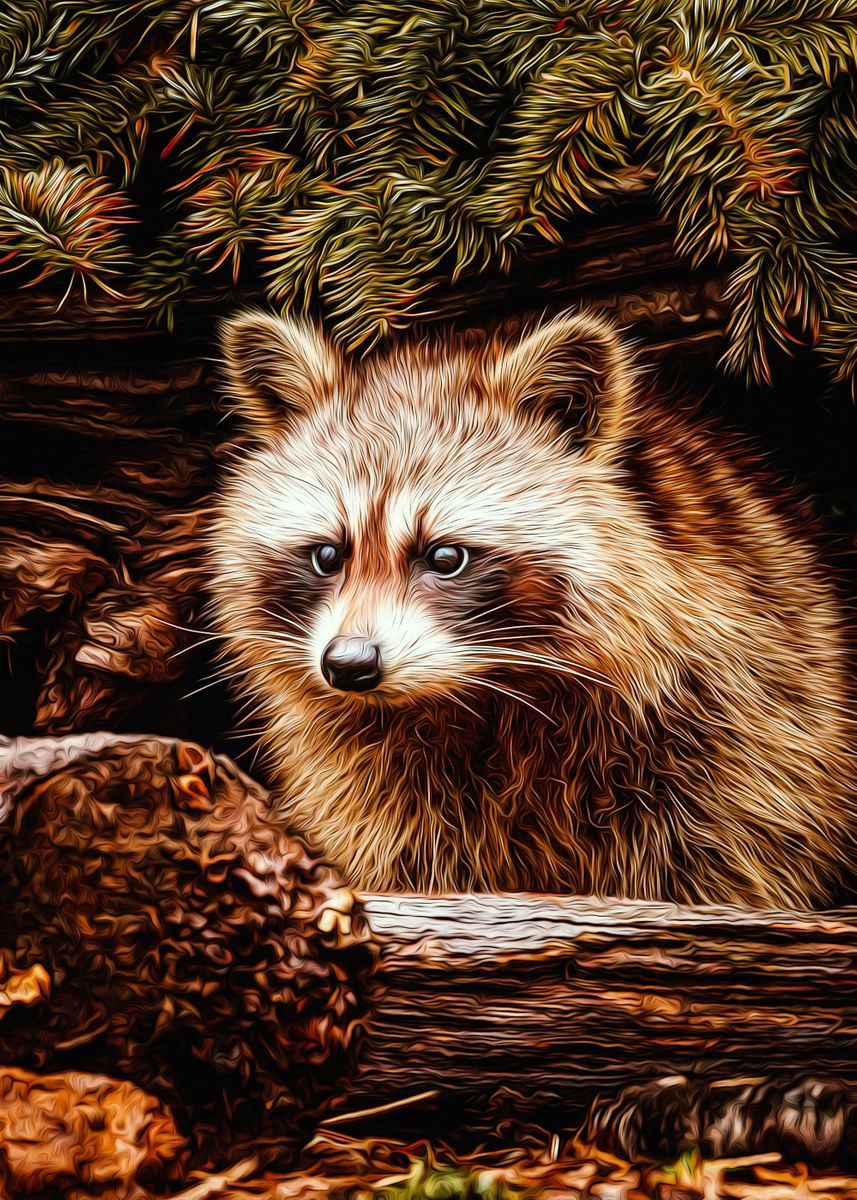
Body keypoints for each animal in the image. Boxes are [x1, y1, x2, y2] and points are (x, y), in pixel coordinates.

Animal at [208, 309, 854, 906]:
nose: (349, 664)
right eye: (327, 554)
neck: (478, 694)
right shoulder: (372, 779)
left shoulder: (741, 729)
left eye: (445, 556)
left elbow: (725, 849)